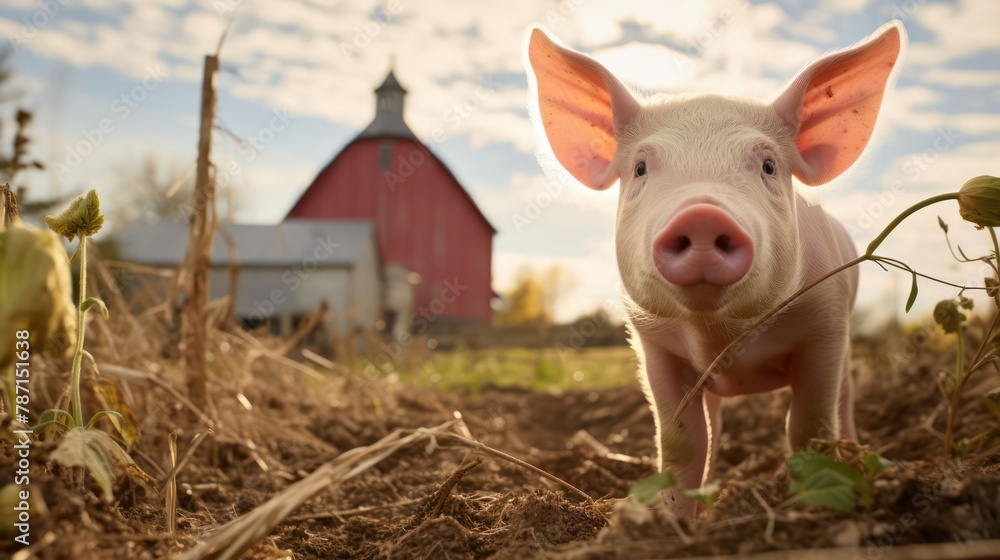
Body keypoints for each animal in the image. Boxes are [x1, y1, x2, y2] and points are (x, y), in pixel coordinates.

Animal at [525, 21, 906, 516]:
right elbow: (681, 441)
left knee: (846, 399)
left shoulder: (825, 328)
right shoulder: (653, 345)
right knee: (716, 425)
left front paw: (814, 507)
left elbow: (810, 429)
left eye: (768, 165)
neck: (719, 335)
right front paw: (674, 520)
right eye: (641, 167)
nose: (702, 215)